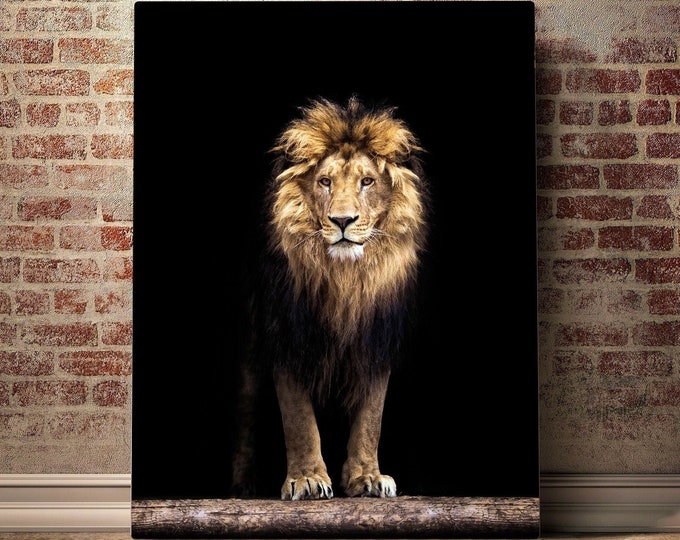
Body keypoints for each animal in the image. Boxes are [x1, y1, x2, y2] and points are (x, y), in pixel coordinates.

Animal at [230, 96, 430, 500]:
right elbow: (299, 418)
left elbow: (371, 417)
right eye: (325, 182)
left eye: (367, 181)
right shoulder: (287, 333)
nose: (342, 221)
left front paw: (367, 477)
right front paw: (307, 479)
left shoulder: (376, 339)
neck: (345, 280)